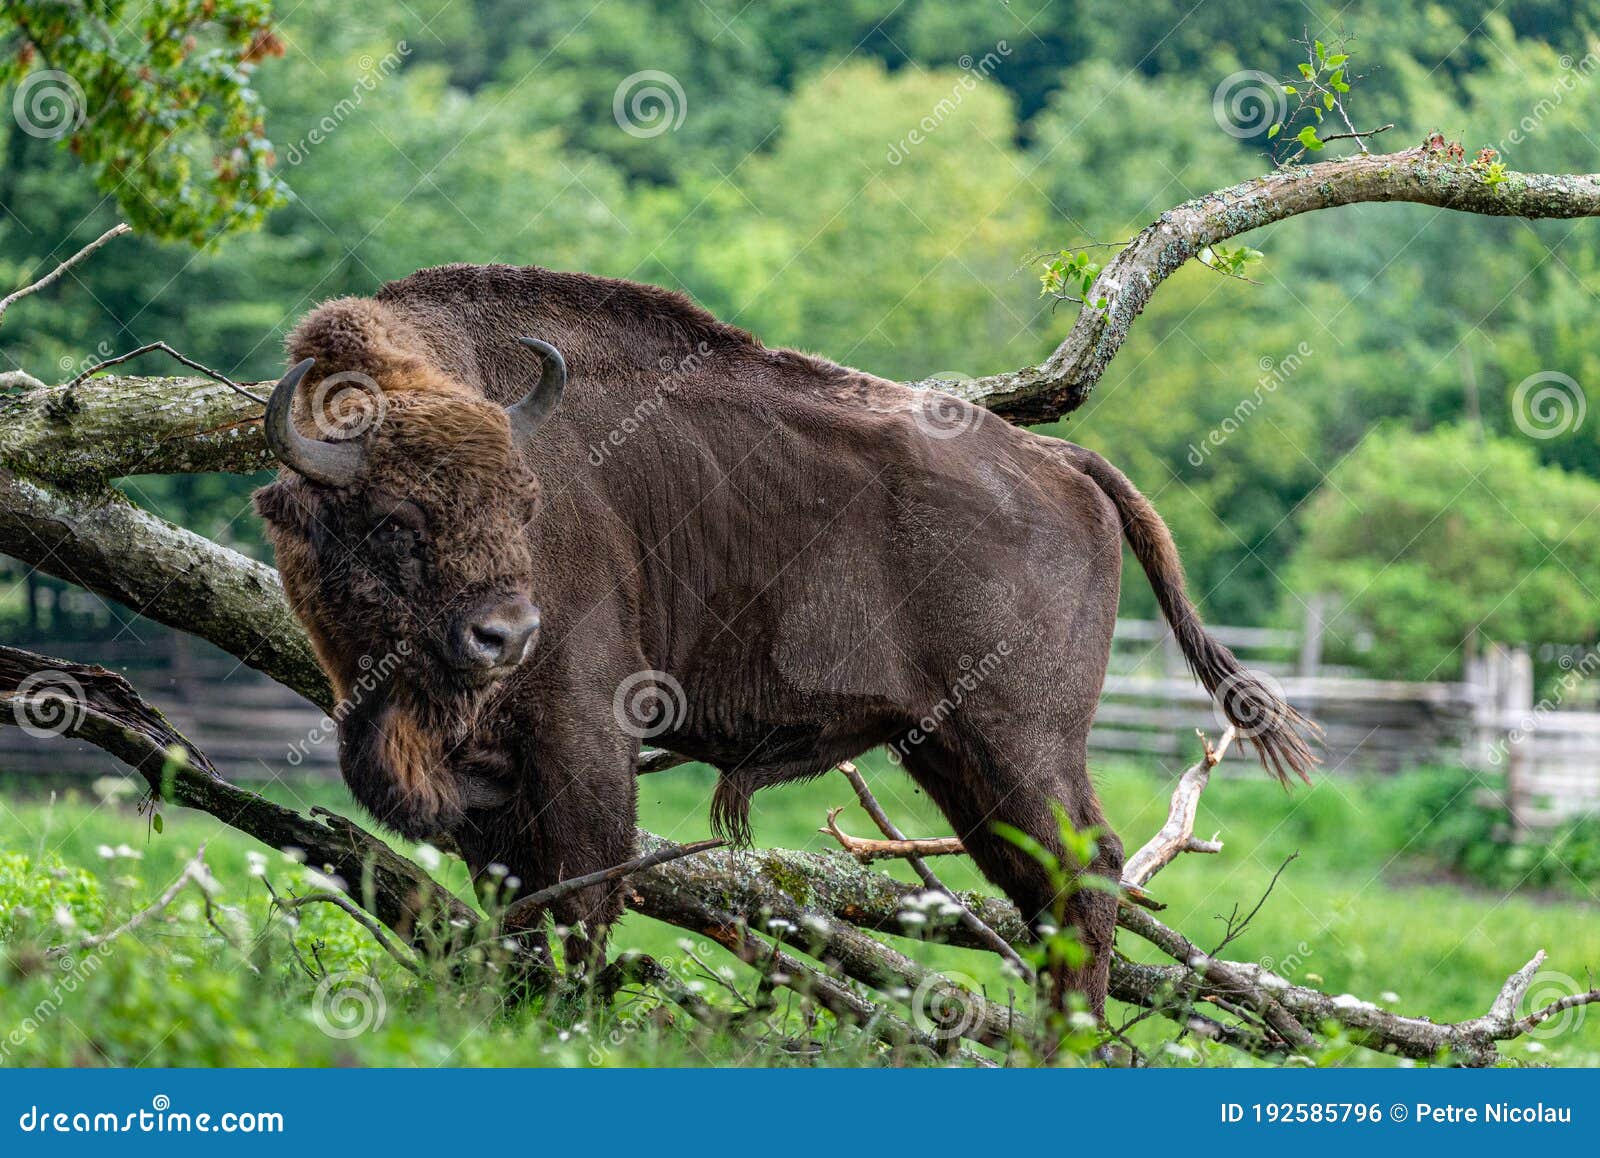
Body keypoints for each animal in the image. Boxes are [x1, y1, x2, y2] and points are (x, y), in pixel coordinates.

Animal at [253, 262, 1316, 1011]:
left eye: (525, 503)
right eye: (394, 521)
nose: (503, 635)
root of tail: (1064, 462)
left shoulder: (582, 736)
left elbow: (584, 893)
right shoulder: (490, 787)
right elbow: (511, 906)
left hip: (1024, 737)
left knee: (1086, 875)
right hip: (952, 750)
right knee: (1041, 890)